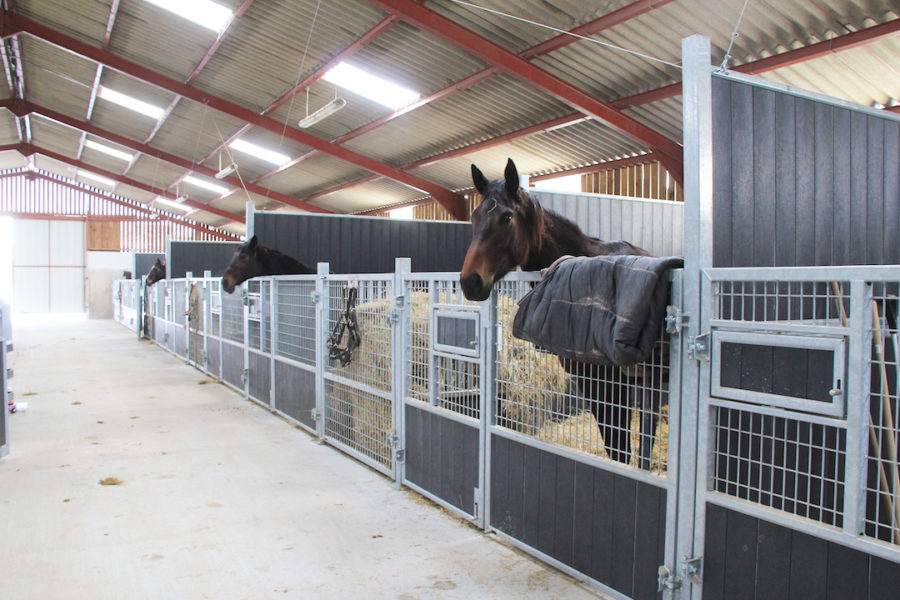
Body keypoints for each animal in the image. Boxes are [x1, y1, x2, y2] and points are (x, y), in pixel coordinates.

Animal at [460, 158, 659, 466]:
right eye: (474, 217)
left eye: (507, 217)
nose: (470, 281)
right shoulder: (591, 383)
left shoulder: (614, 386)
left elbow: (620, 449)